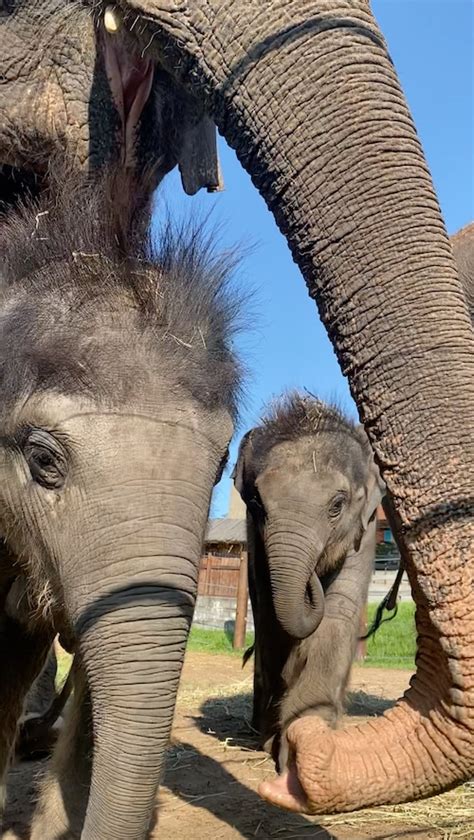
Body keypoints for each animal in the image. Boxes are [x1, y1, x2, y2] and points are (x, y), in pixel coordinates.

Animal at [233, 394, 384, 770]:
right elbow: (270, 618)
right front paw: (270, 741)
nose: (314, 575)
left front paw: (304, 738)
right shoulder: (257, 542)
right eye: (256, 502)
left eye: (337, 505)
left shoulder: (365, 531)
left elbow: (338, 612)